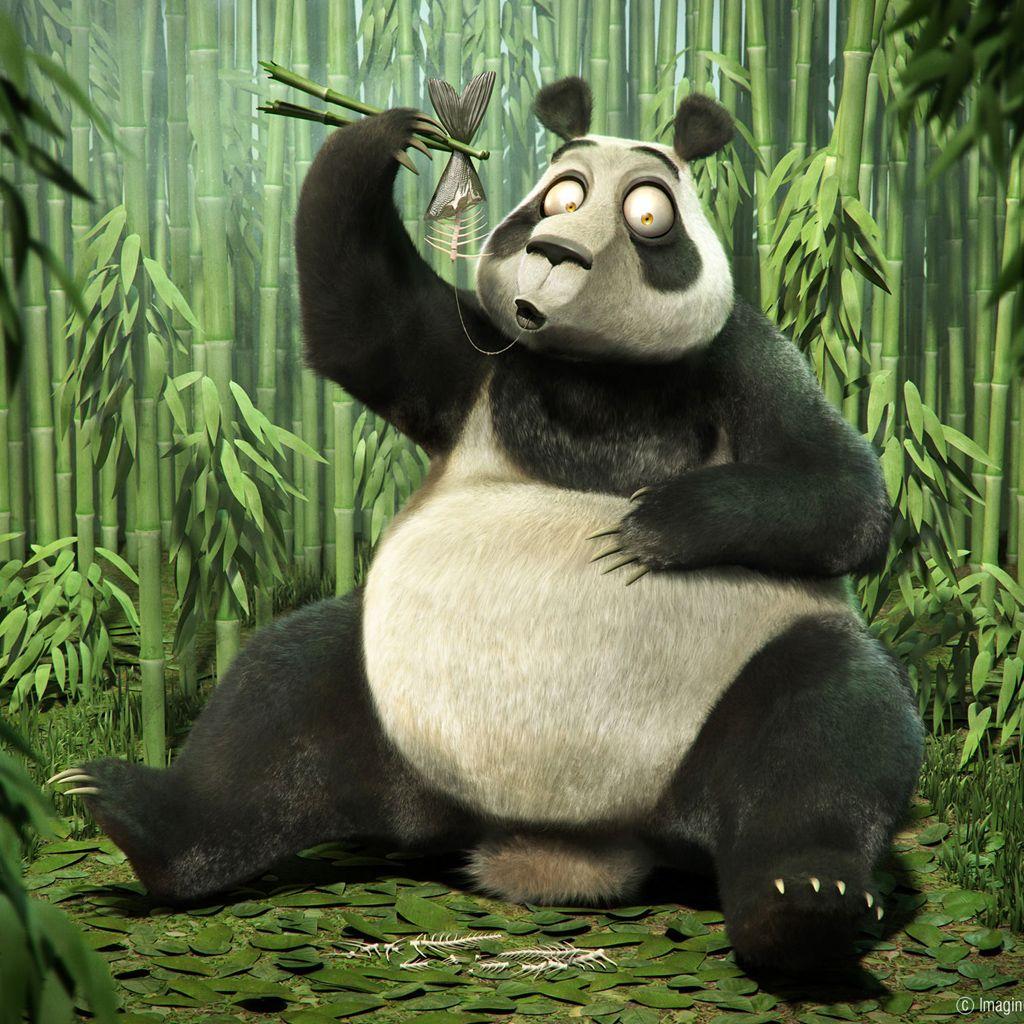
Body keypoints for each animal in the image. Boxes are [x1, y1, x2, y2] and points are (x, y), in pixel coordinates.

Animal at [58, 77, 923, 973]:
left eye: (648, 213)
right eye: (560, 195)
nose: (557, 251)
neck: (596, 376)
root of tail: (568, 844)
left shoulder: (740, 354)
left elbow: (845, 495)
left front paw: (652, 525)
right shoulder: (482, 357)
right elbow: (360, 323)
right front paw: (388, 133)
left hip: (740, 685)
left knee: (831, 727)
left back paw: (803, 903)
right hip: (388, 698)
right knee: (277, 697)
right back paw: (138, 814)